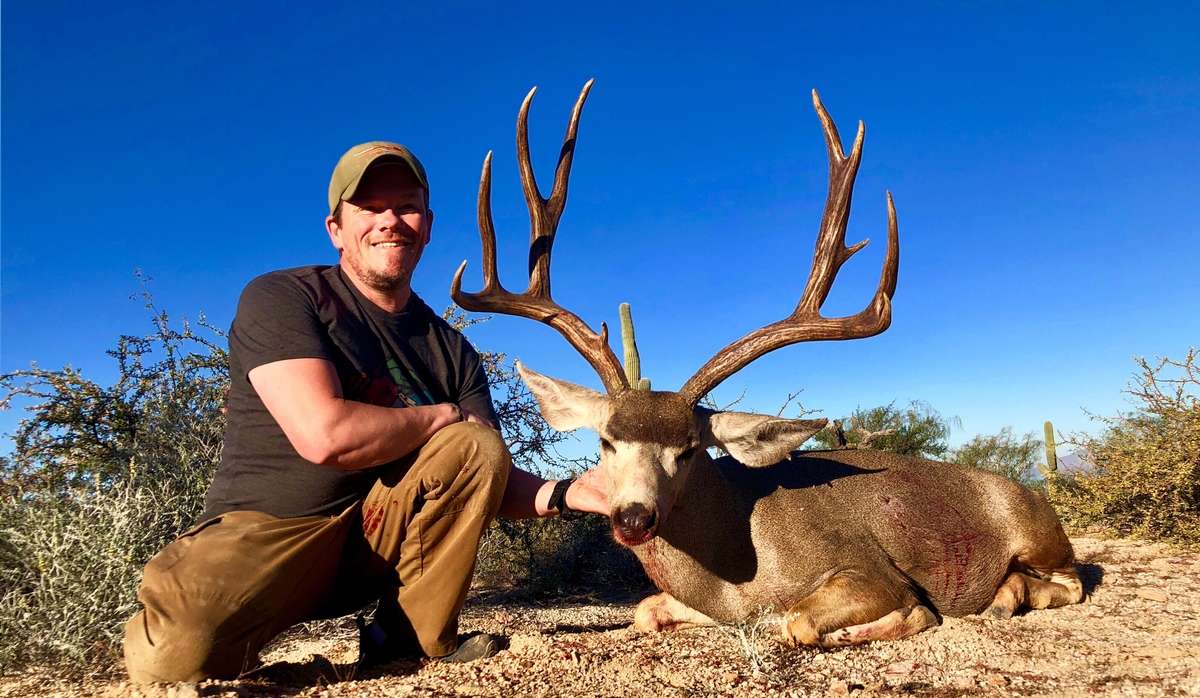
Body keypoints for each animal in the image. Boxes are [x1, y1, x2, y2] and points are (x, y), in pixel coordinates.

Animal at [451, 81, 1084, 647]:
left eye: (689, 449)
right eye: (606, 442)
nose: (633, 518)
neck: (738, 563)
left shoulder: (869, 571)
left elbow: (804, 620)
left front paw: (893, 620)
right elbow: (647, 610)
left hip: (1040, 534)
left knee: (1074, 580)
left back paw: (1004, 598)